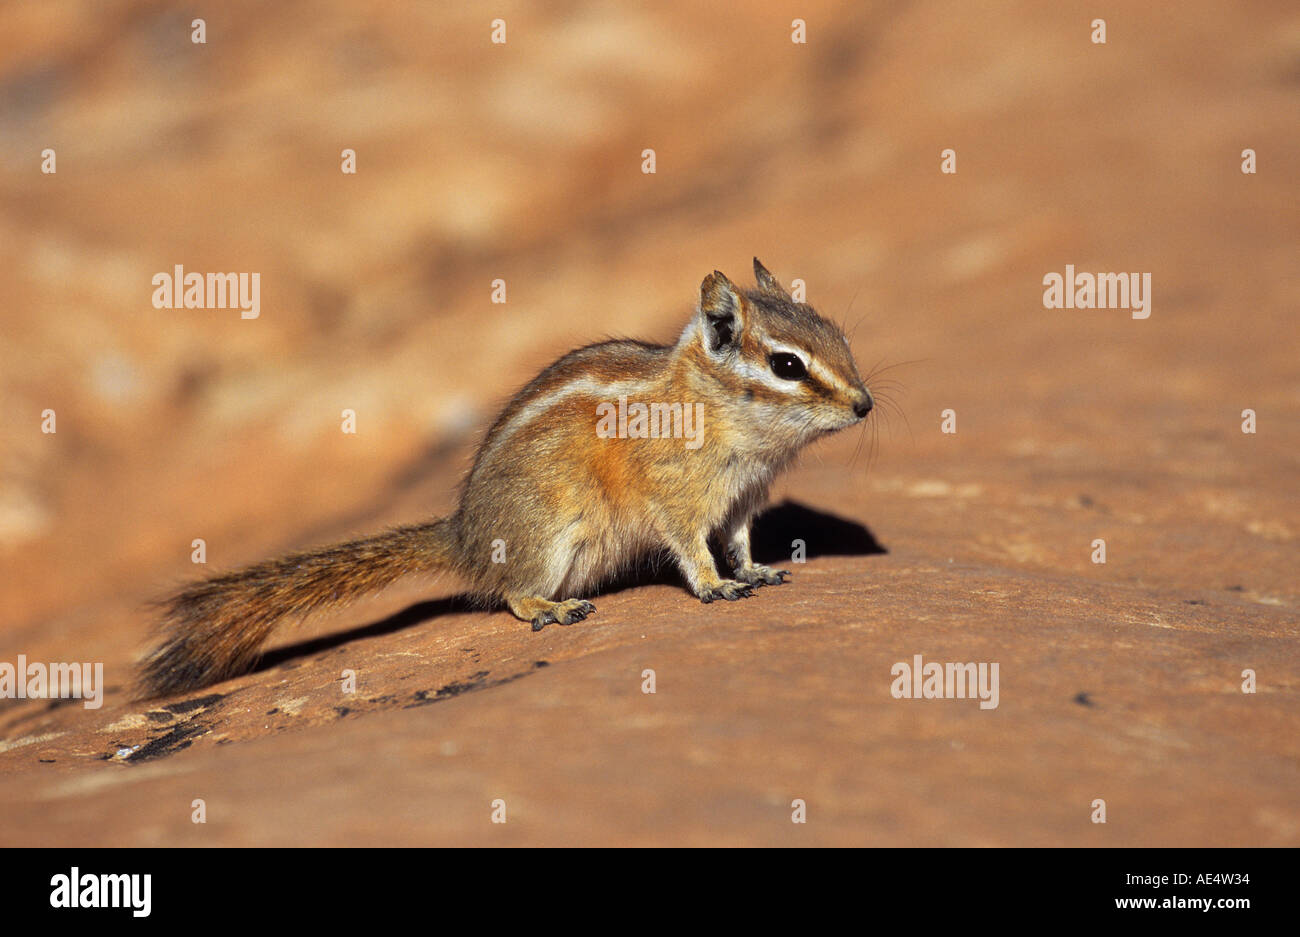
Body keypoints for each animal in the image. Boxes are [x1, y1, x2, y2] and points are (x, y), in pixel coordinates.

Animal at [139, 259, 874, 697]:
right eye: (786, 365)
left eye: (839, 334)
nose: (865, 404)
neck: (712, 408)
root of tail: (462, 536)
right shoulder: (679, 498)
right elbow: (691, 549)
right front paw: (716, 585)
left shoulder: (744, 499)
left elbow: (741, 540)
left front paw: (753, 570)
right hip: (550, 534)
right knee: (510, 595)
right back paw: (551, 607)